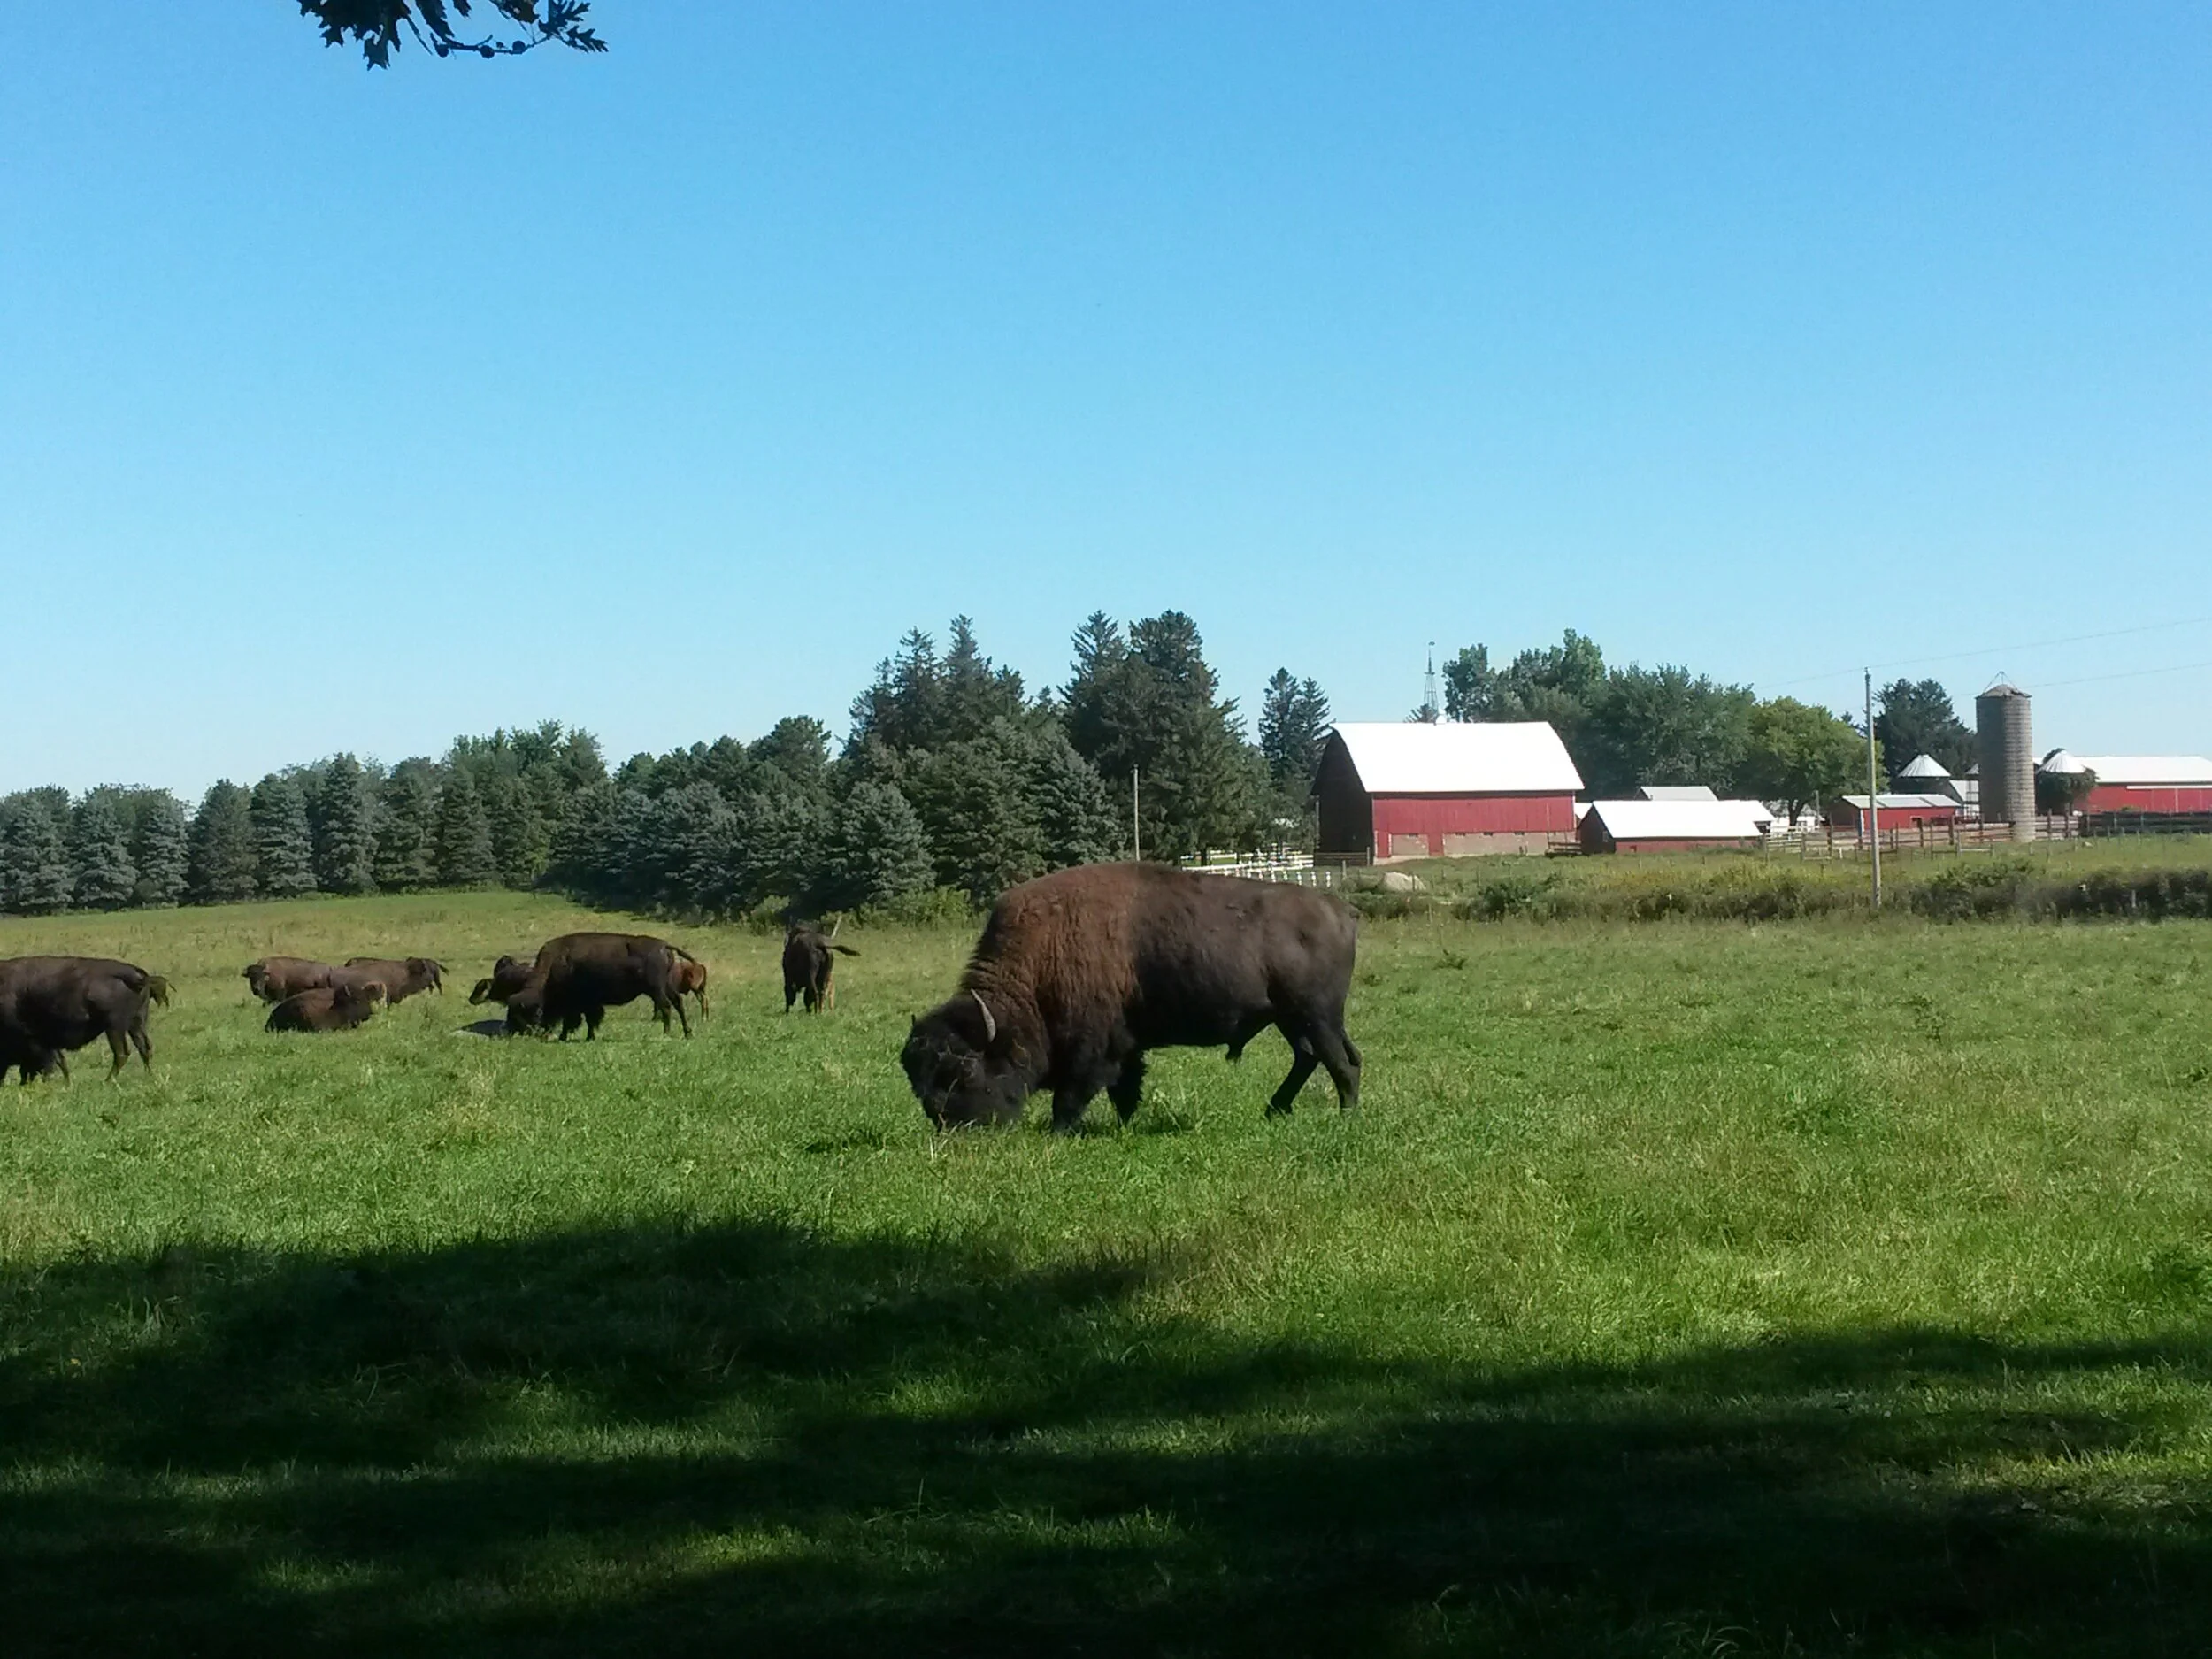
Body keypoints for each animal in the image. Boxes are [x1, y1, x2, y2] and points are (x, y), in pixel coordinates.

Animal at [0, 956, 172, 1081]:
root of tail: (138, 975)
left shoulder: (38, 1044)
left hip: (114, 1027)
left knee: (122, 1053)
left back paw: (107, 1081)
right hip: (136, 1023)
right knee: (144, 1047)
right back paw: (148, 1076)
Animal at [503, 933, 701, 1041]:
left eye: (523, 1013)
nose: (509, 1031)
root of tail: (664, 945)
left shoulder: (577, 1003)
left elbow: (577, 1020)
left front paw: (565, 1036)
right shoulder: (588, 1003)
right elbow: (590, 1019)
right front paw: (589, 1037)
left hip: (655, 989)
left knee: (666, 1006)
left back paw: (666, 1033)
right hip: (666, 986)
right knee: (678, 1003)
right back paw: (688, 1033)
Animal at [900, 863, 1361, 1132]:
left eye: (963, 1070)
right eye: (917, 1080)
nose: (948, 1126)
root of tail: (1339, 909)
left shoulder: (1093, 1051)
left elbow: (1074, 1095)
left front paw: (1059, 1132)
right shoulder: (1125, 1046)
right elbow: (1125, 1087)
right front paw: (1123, 1125)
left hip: (1316, 1015)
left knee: (1339, 1062)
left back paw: (1344, 1118)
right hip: (1294, 1018)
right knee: (1314, 1057)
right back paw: (1276, 1110)